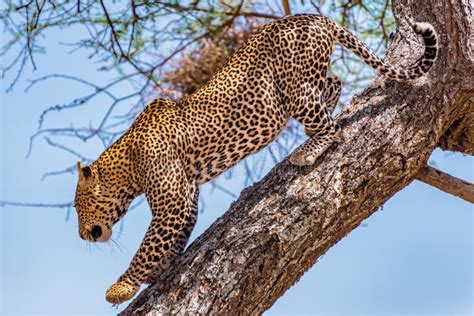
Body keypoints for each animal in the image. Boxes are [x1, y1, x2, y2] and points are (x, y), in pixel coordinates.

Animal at [72, 12, 438, 304]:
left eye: (78, 206)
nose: (81, 235)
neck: (128, 166)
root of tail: (311, 16)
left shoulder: (172, 200)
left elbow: (148, 245)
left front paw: (122, 286)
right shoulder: (187, 195)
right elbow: (175, 236)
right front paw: (161, 268)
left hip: (294, 89)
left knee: (332, 126)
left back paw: (307, 150)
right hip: (307, 80)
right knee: (334, 82)